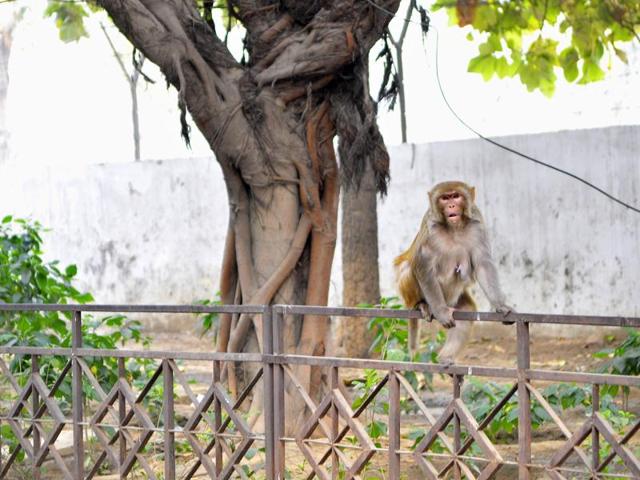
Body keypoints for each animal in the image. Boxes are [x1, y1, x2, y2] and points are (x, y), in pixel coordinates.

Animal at [394, 180, 512, 364]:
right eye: (444, 198)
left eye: (456, 196)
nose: (451, 205)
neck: (454, 228)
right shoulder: (431, 230)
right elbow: (423, 267)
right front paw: (441, 312)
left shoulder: (477, 225)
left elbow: (483, 264)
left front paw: (500, 304)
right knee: (407, 267)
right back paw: (421, 304)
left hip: (455, 301)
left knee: (466, 312)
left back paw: (445, 357)